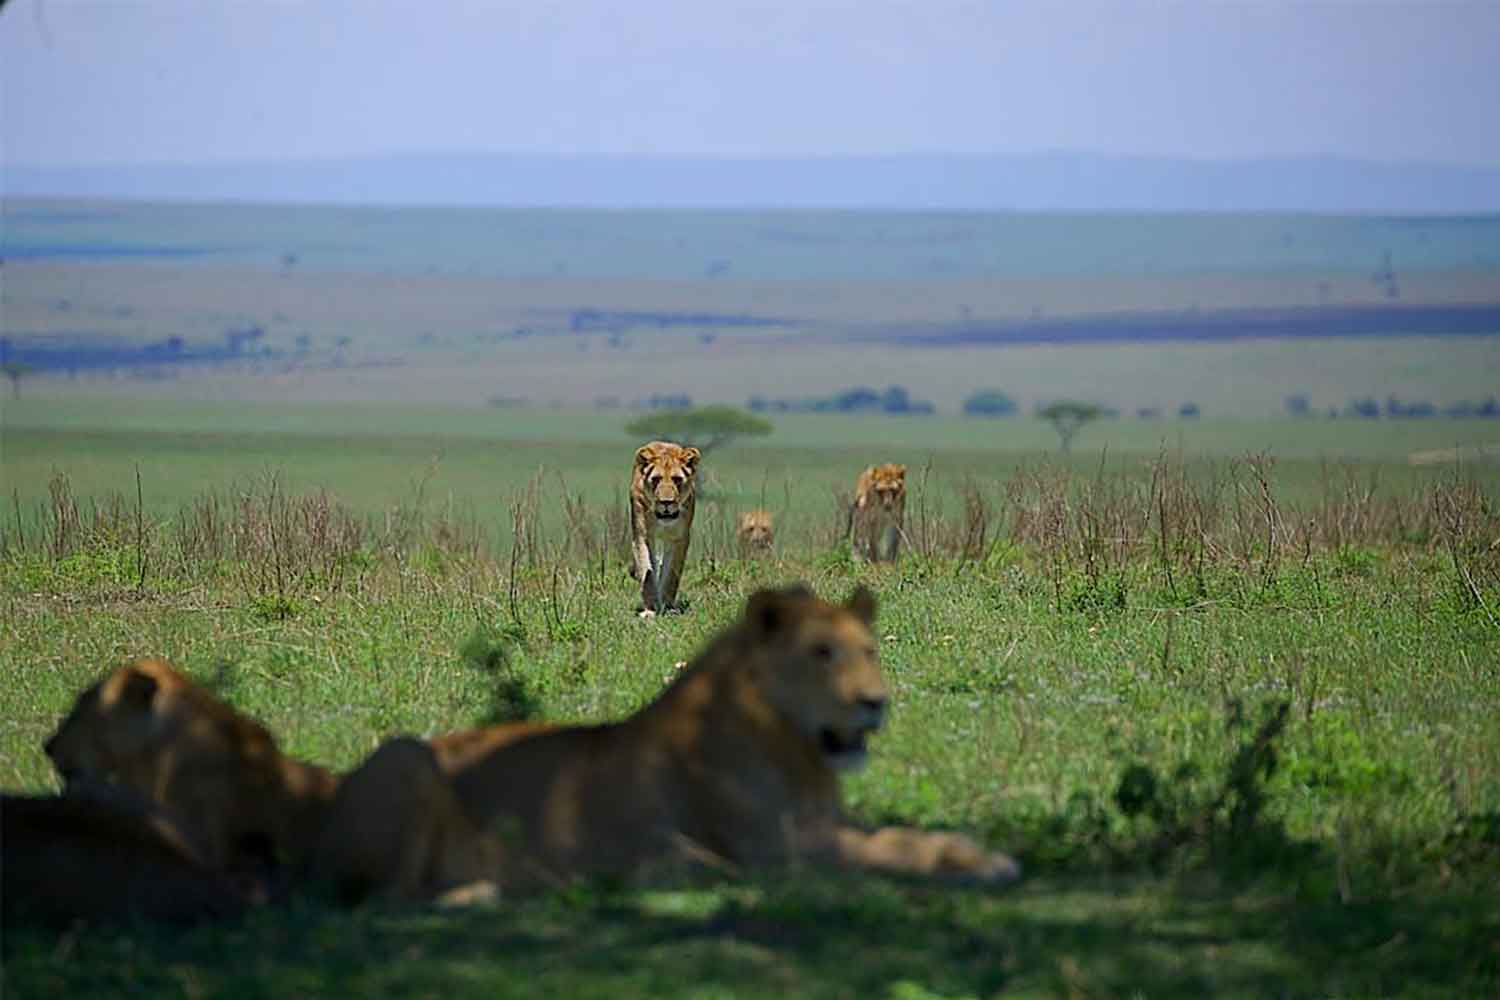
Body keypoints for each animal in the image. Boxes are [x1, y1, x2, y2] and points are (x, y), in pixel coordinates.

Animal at [447, 584, 1020, 889]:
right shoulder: (775, 847)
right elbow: (882, 851)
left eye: (868, 651)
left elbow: (899, 834)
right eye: (821, 653)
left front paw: (978, 853)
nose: (874, 702)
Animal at [629, 440, 702, 616]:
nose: (666, 502)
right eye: (656, 479)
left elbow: (671, 575)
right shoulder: (642, 535)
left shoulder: (679, 538)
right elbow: (647, 570)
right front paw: (650, 610)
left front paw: (667, 607)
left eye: (677, 479)